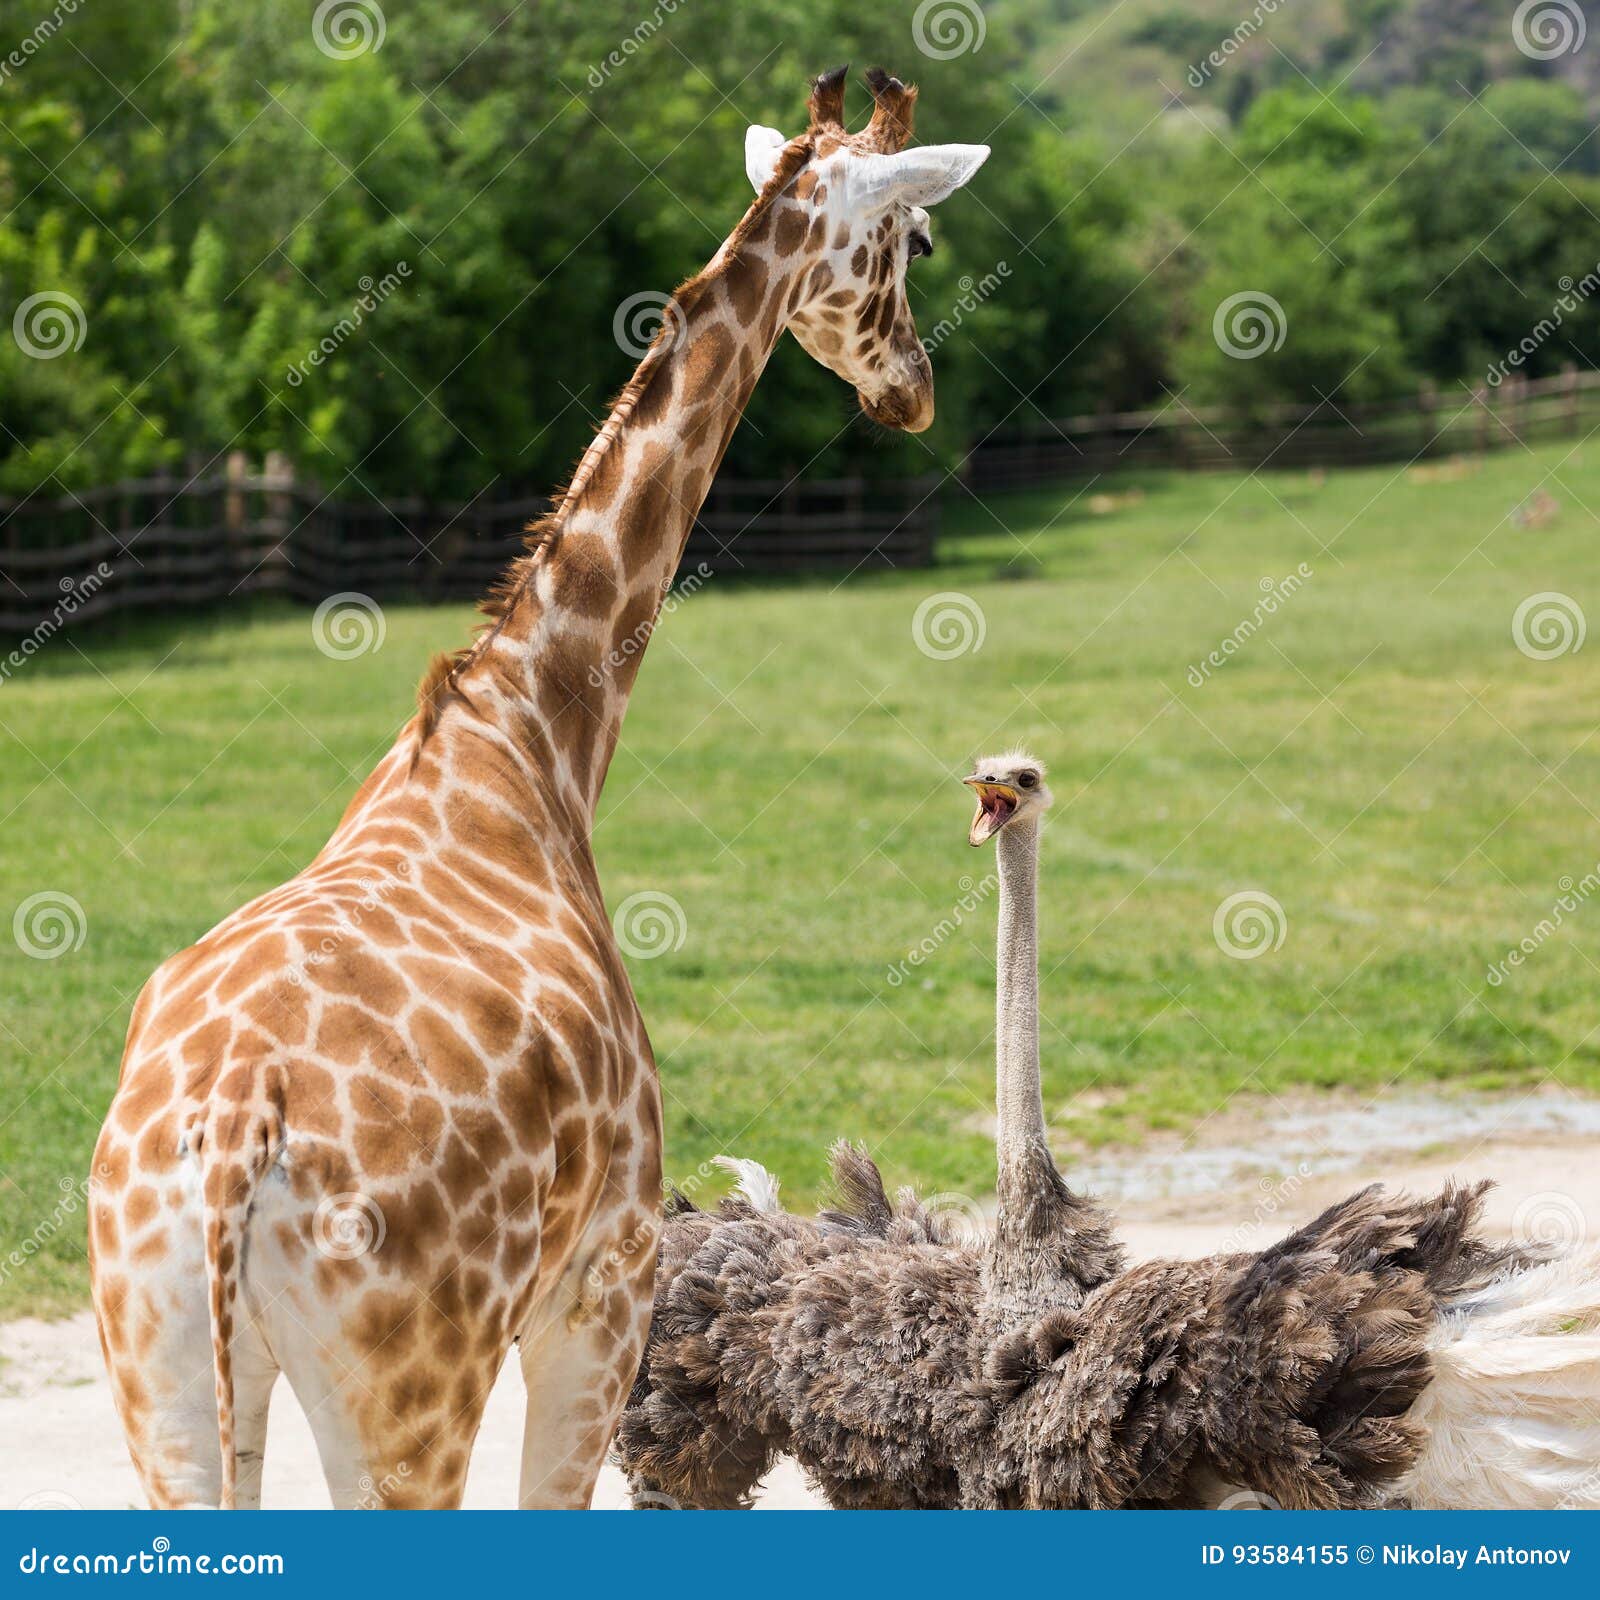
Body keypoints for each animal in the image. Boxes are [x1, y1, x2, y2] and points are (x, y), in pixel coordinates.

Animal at [88, 66, 990, 1510]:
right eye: (914, 240)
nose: (911, 387)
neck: (529, 744)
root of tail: (231, 1138)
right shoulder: (602, 1285)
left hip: (163, 1366)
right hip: (408, 1392)